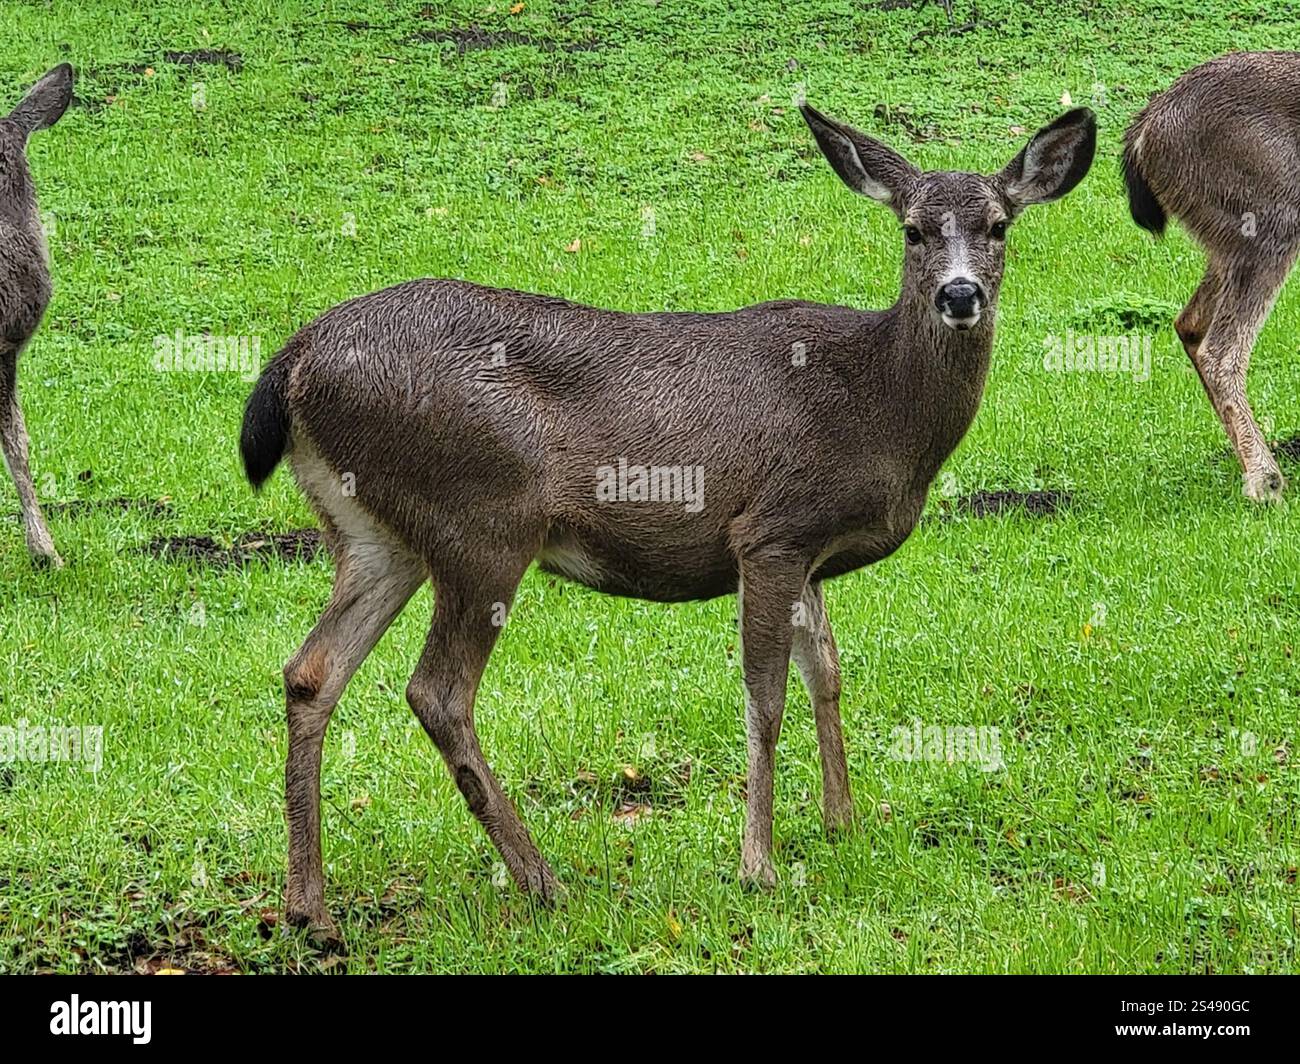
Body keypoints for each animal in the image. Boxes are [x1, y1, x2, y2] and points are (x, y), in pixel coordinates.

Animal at [241, 101, 1095, 940]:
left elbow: (827, 673)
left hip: (374, 534)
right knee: (437, 691)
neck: (879, 408)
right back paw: (543, 883)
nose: (960, 295)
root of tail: (293, 363)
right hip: (486, 519)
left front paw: (842, 823)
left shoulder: (811, 555)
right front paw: (759, 865)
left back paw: (310, 907)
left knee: (311, 671)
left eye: (999, 225)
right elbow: (765, 695)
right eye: (913, 229)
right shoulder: (771, 528)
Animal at [1123, 51, 1300, 502]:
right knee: (1221, 350)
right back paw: (1265, 479)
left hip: (1226, 245)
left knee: (1189, 324)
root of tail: (1145, 132)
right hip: (1271, 225)